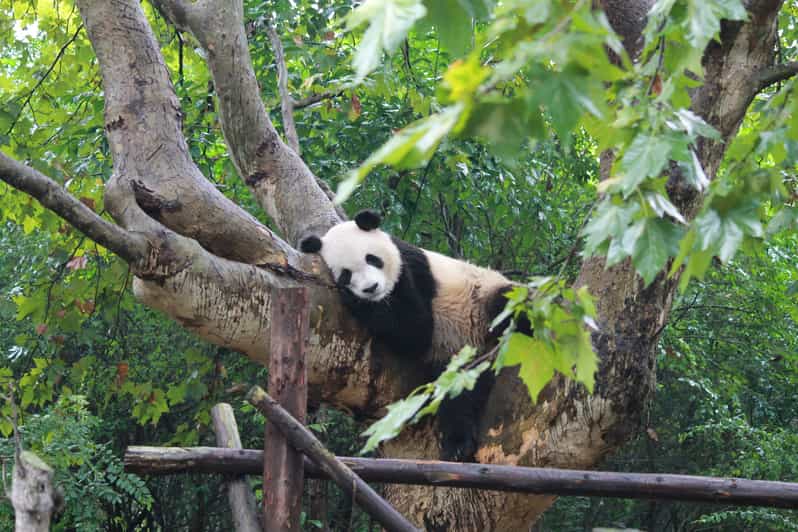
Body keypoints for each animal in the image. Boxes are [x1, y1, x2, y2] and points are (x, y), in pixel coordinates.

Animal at [300, 210, 524, 461]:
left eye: (372, 259)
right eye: (346, 275)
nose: (371, 288)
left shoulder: (411, 270)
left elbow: (417, 330)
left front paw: (358, 302)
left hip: (484, 298)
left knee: (509, 304)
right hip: (460, 353)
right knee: (457, 394)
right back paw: (458, 447)